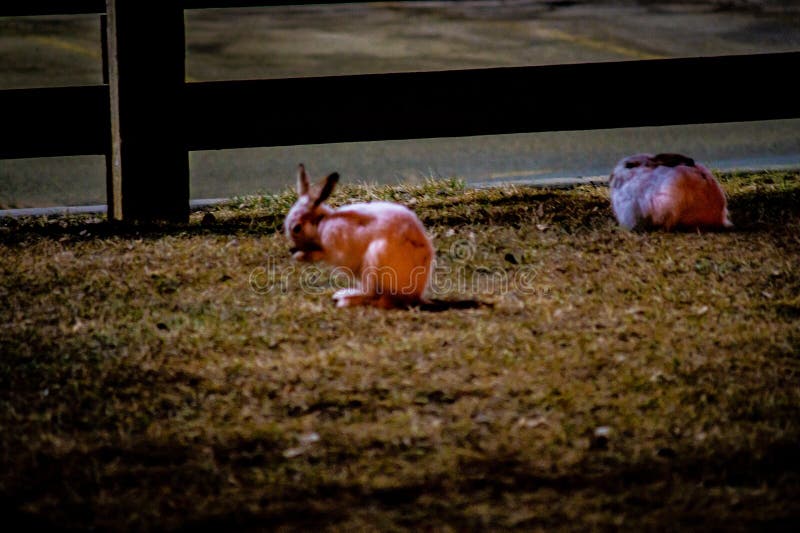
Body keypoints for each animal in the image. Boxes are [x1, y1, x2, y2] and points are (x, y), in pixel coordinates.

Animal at [284, 164, 435, 309]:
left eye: (296, 228)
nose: (292, 249)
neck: (320, 224)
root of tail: (416, 293)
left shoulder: (335, 248)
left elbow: (323, 254)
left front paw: (301, 256)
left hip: (374, 262)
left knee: (374, 295)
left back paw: (346, 300)